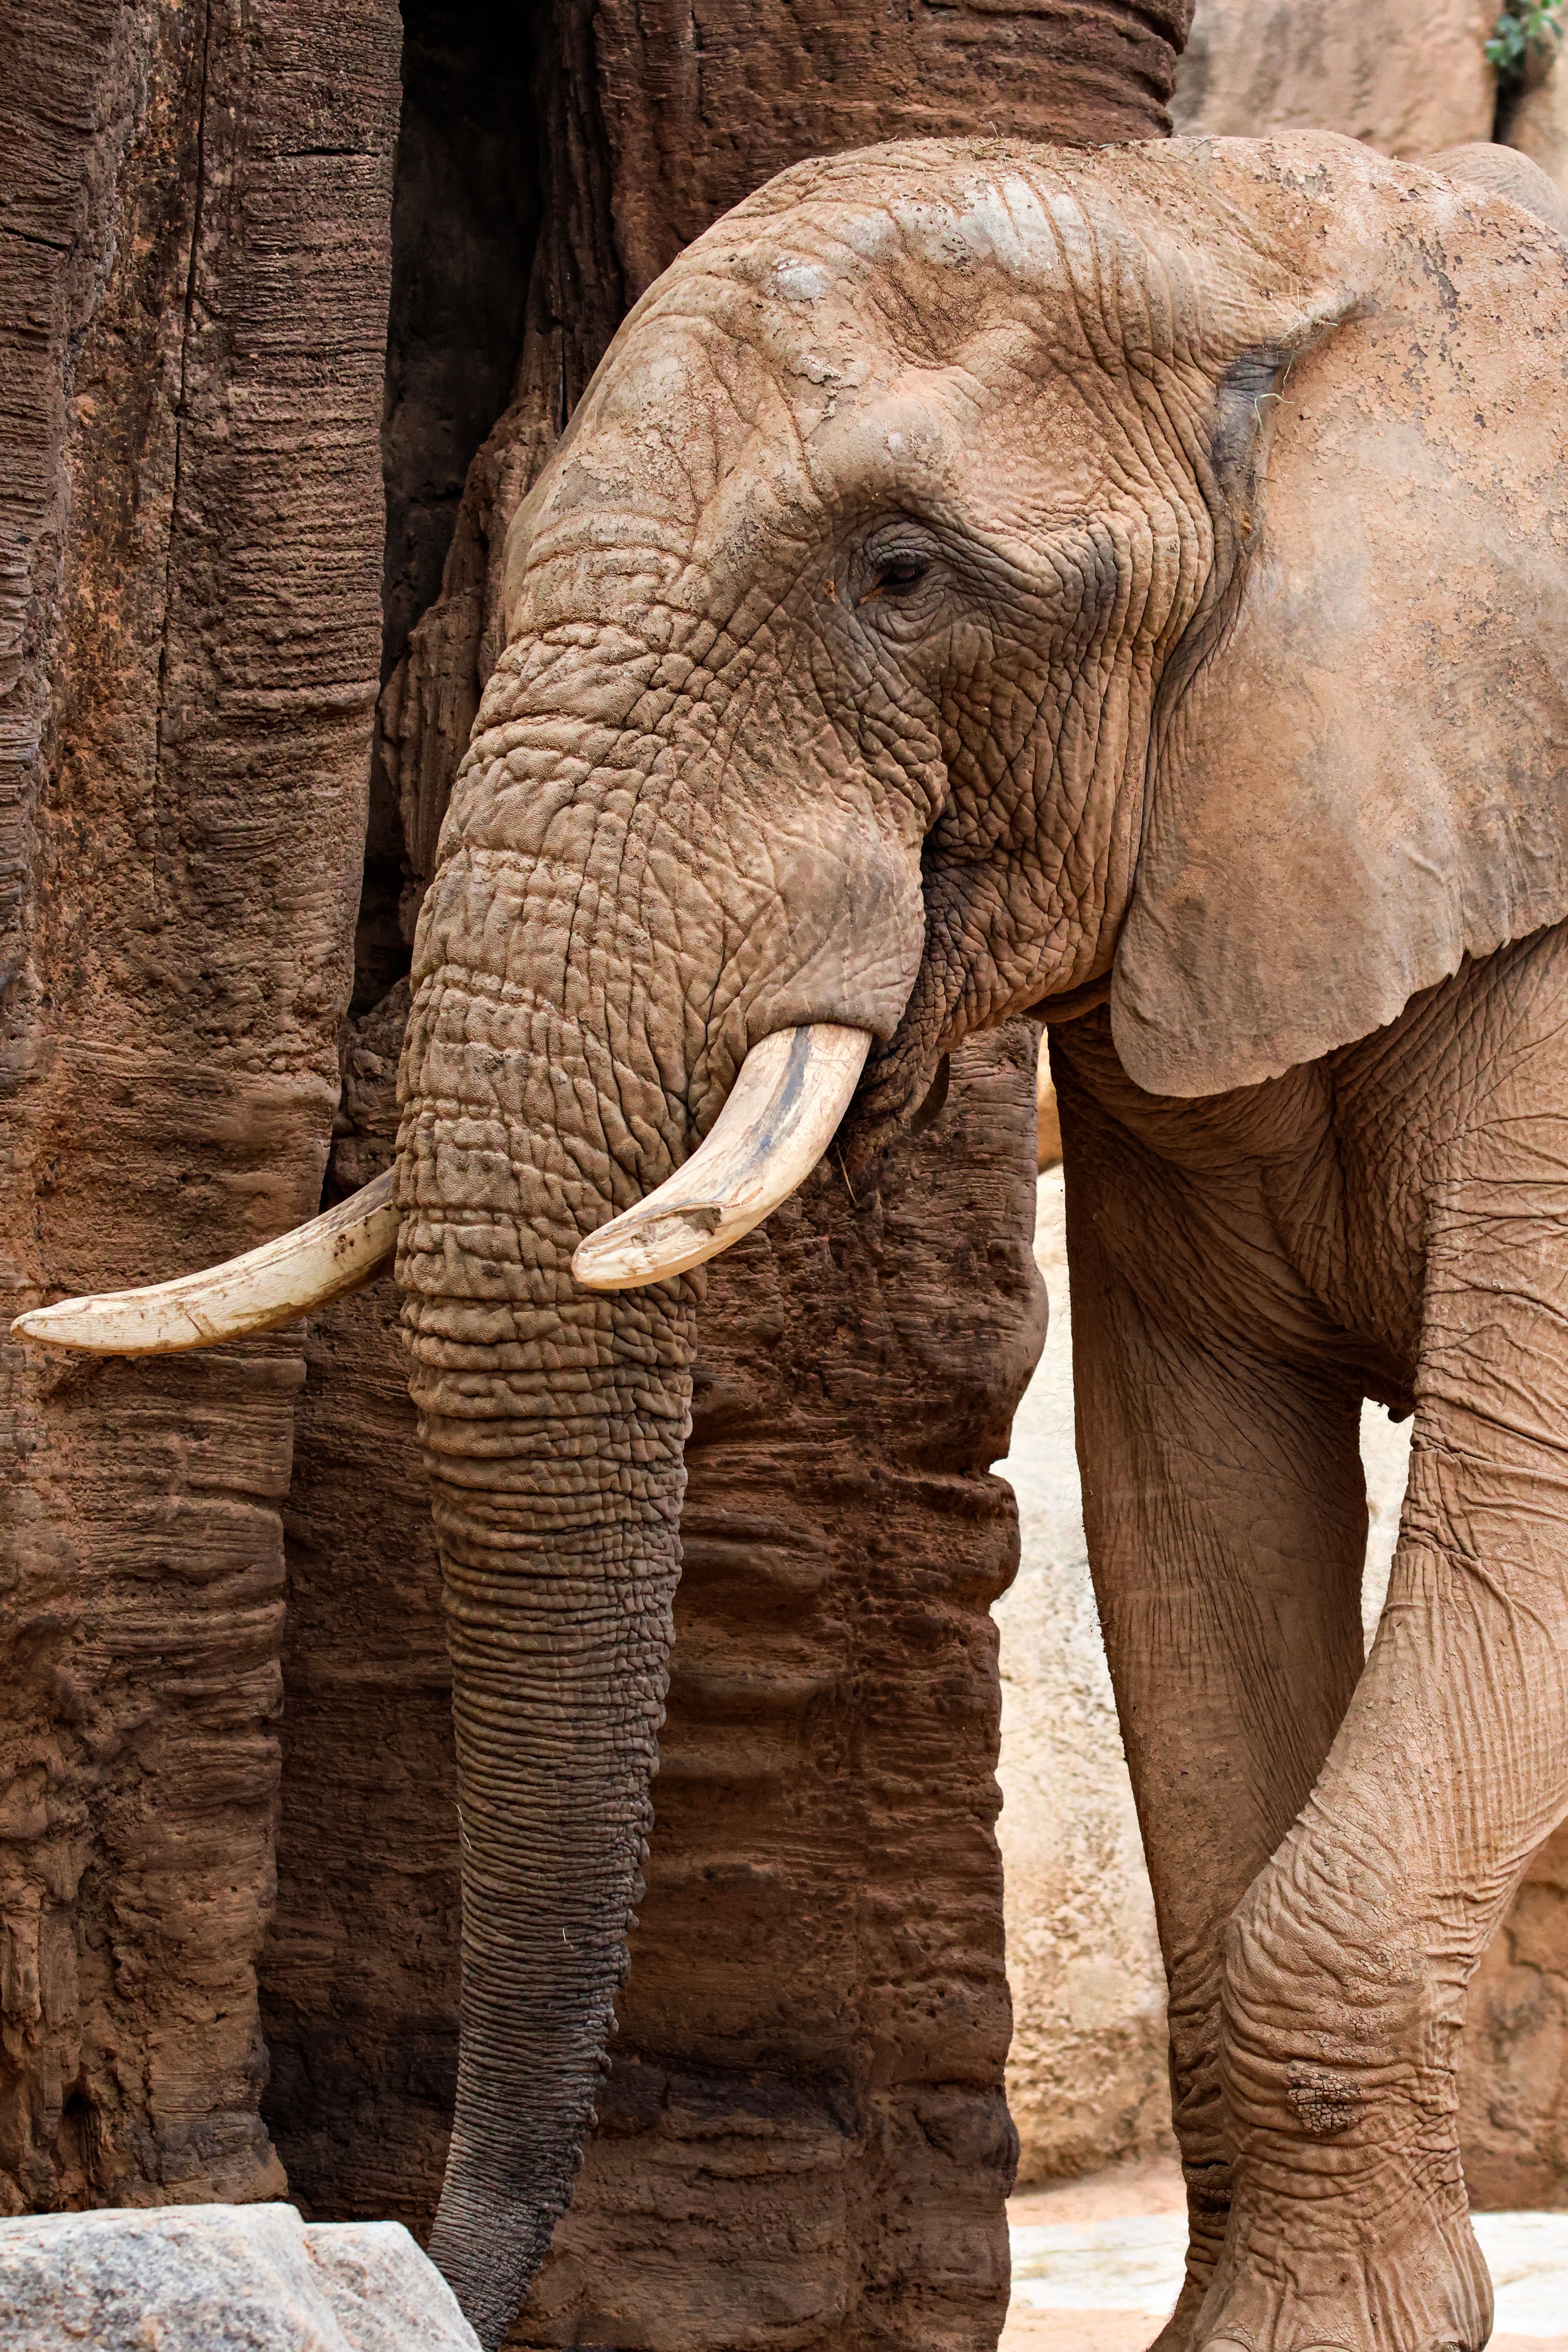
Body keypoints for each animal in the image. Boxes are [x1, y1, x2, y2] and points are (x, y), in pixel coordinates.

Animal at [19, 124, 1568, 2352]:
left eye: (899, 572)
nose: (404, 2259)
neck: (1253, 237)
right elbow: (1193, 1509)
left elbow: (1512, 1502)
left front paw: (1308, 2343)